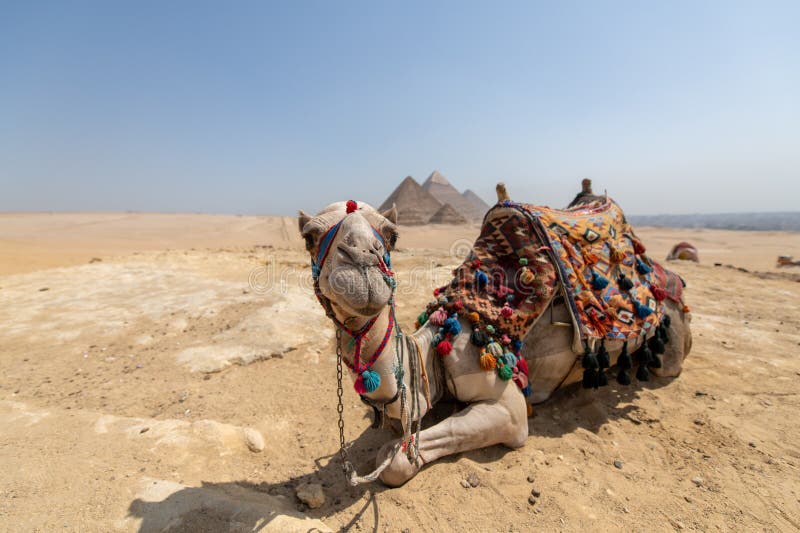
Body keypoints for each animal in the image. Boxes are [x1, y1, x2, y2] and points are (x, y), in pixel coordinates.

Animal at [298, 191, 692, 487]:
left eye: (392, 233)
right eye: (309, 236)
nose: (361, 261)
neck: (431, 354)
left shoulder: (509, 409)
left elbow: (395, 460)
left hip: (670, 335)